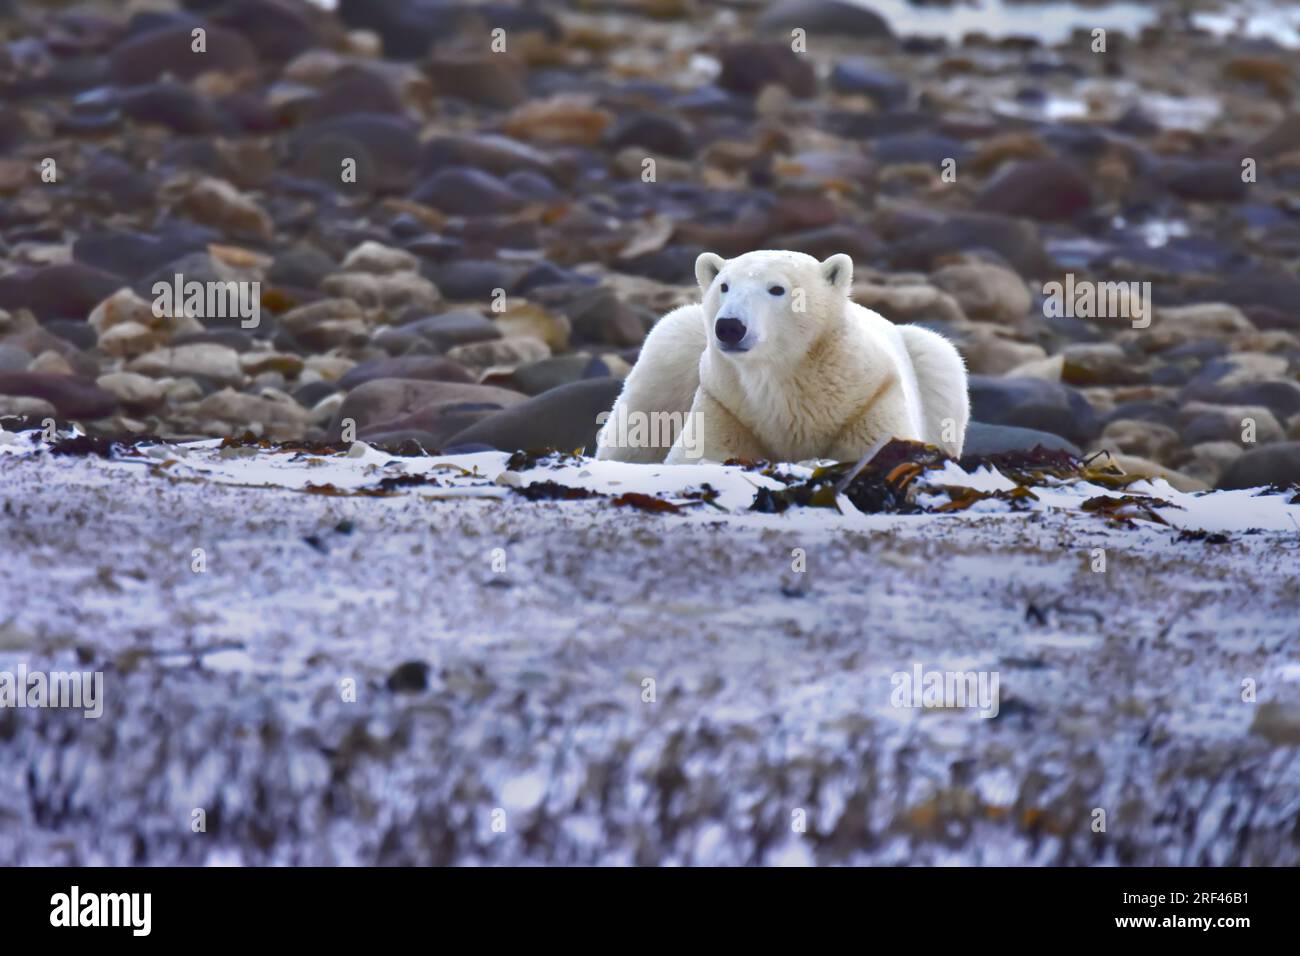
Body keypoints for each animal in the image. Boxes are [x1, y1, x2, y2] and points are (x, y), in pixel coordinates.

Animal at [595, 250, 969, 464]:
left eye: (777, 289)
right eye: (724, 286)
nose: (729, 327)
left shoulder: (872, 399)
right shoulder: (726, 403)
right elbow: (699, 456)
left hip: (930, 359)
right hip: (678, 344)